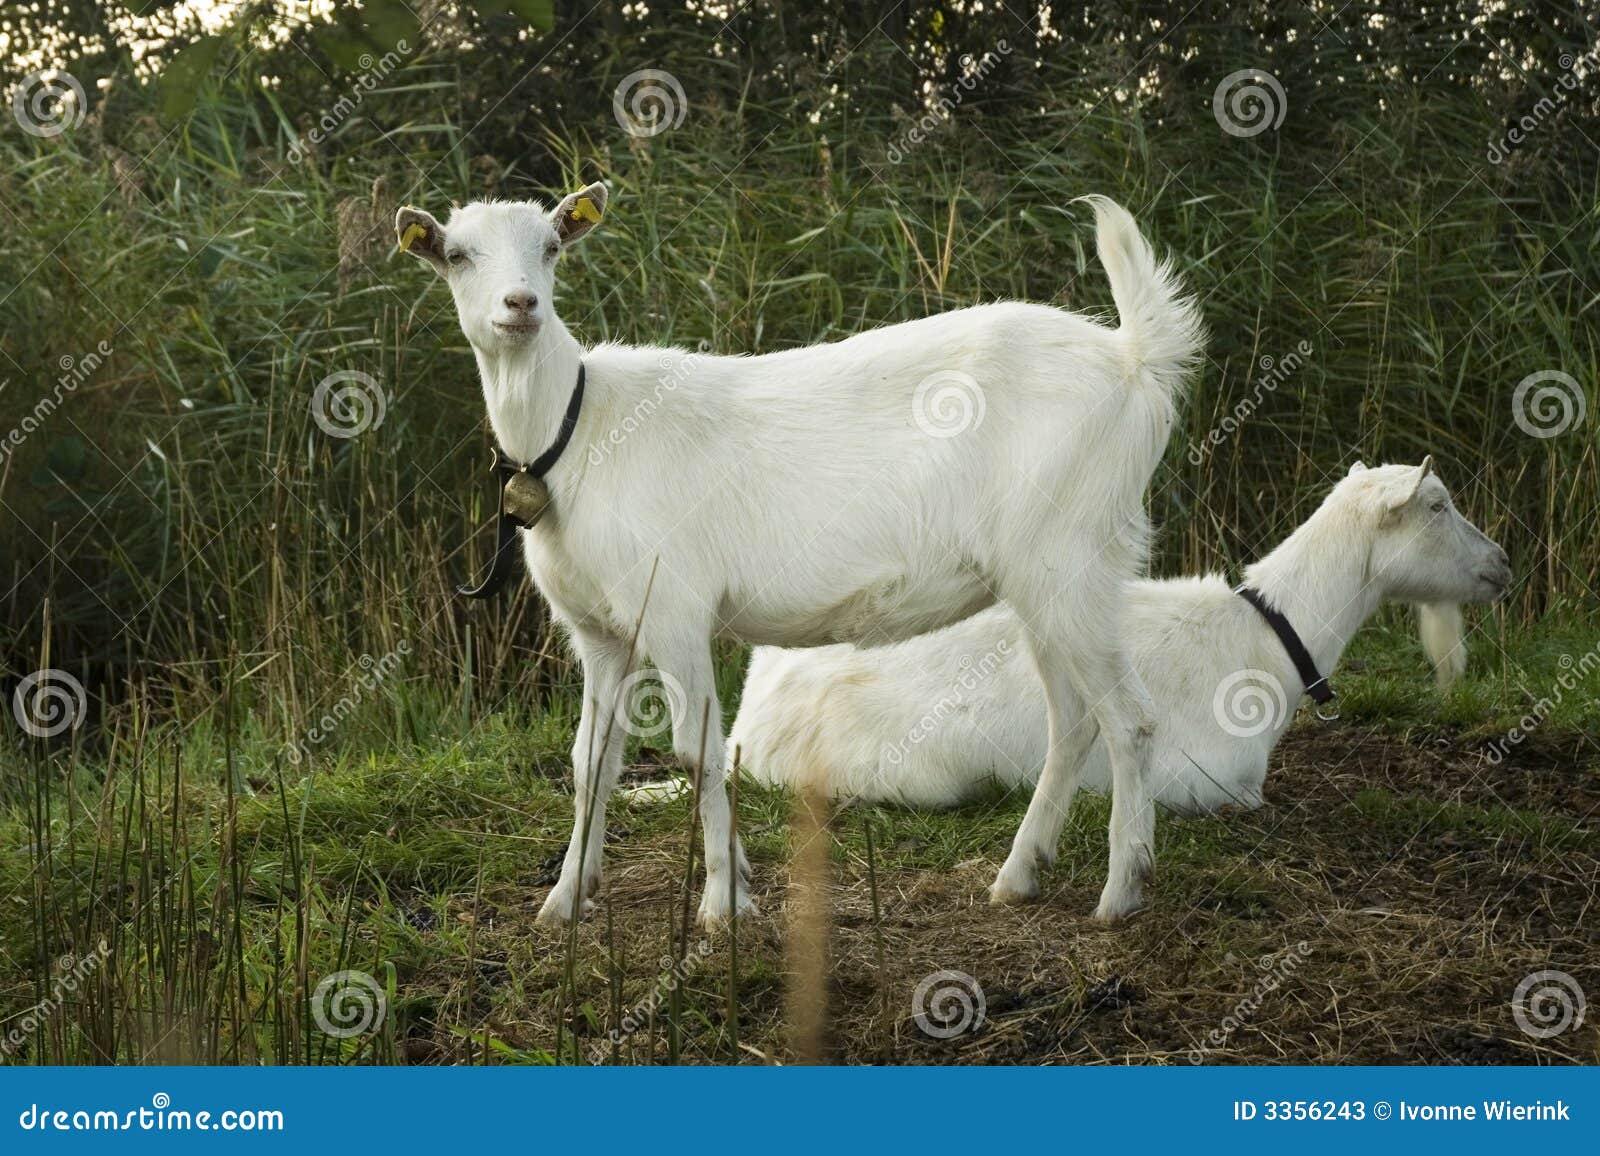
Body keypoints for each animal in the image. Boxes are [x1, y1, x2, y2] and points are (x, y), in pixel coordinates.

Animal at [396, 185, 1202, 925]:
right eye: (457, 254)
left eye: (552, 247)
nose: (521, 304)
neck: (579, 432)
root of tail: (1134, 360)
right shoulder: (597, 629)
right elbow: (591, 758)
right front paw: (565, 900)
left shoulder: (676, 608)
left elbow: (698, 751)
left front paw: (722, 905)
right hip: (1046, 579)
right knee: (1072, 720)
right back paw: (1020, 874)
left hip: (1070, 554)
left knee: (1130, 719)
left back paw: (1120, 894)